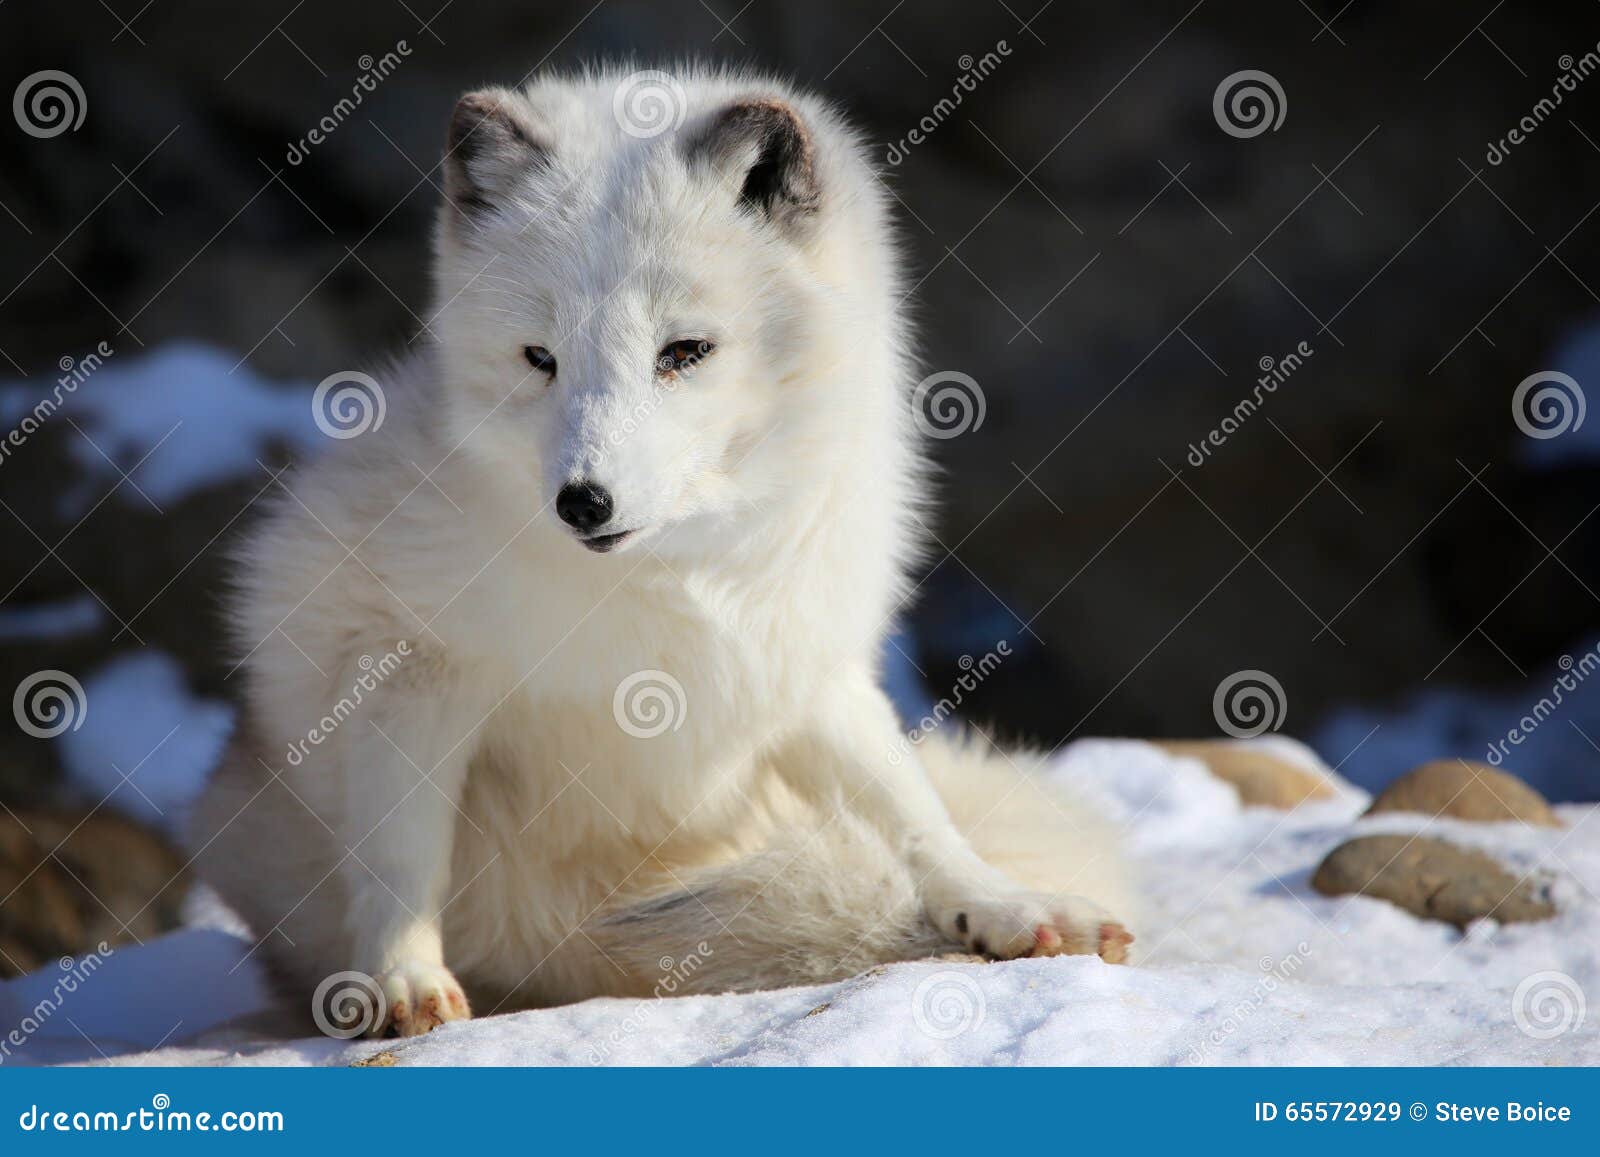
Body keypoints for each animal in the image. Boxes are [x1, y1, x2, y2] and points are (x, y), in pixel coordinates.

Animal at [191, 64, 1143, 1037]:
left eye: (685, 351)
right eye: (541, 358)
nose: (583, 501)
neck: (674, 577)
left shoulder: (798, 660)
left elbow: (907, 803)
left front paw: (999, 903)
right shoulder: (404, 660)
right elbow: (401, 855)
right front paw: (400, 980)